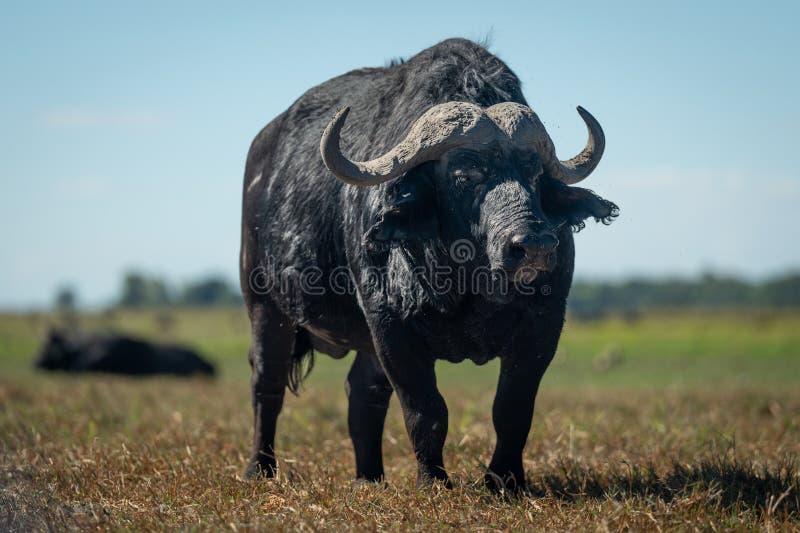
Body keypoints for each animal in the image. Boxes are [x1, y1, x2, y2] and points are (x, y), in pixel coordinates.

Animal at [240, 38, 617, 491]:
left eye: (532, 173)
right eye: (465, 175)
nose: (534, 245)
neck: (470, 284)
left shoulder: (543, 325)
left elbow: (512, 409)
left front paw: (504, 480)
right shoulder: (391, 327)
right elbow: (426, 410)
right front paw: (432, 482)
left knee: (362, 392)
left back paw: (369, 478)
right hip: (264, 304)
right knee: (267, 382)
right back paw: (259, 469)